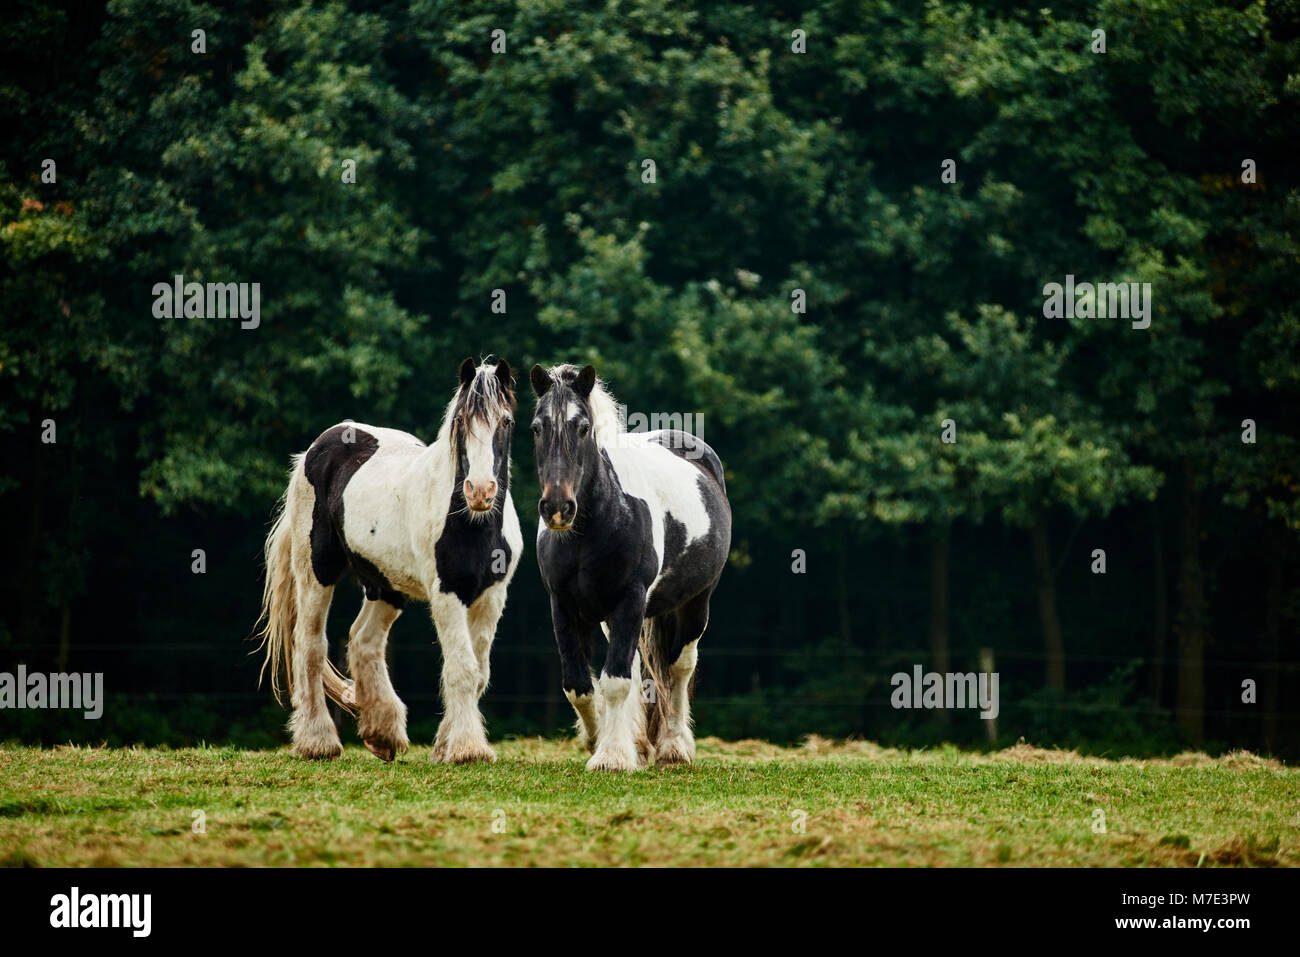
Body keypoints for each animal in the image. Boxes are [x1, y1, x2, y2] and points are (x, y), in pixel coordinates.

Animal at [255, 357, 522, 764]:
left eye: (505, 421)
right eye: (461, 421)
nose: (480, 491)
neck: (471, 521)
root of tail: (316, 448)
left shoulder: (492, 596)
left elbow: (478, 673)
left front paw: (446, 746)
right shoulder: (447, 594)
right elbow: (461, 668)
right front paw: (467, 750)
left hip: (385, 586)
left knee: (362, 641)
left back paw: (382, 734)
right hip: (317, 571)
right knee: (310, 646)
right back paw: (318, 742)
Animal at [529, 363, 731, 771]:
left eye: (583, 427)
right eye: (537, 427)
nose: (557, 508)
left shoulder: (629, 600)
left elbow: (616, 681)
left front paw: (611, 756)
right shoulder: (563, 605)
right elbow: (580, 685)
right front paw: (599, 740)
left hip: (695, 603)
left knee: (679, 668)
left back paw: (674, 747)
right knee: (639, 671)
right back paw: (639, 742)